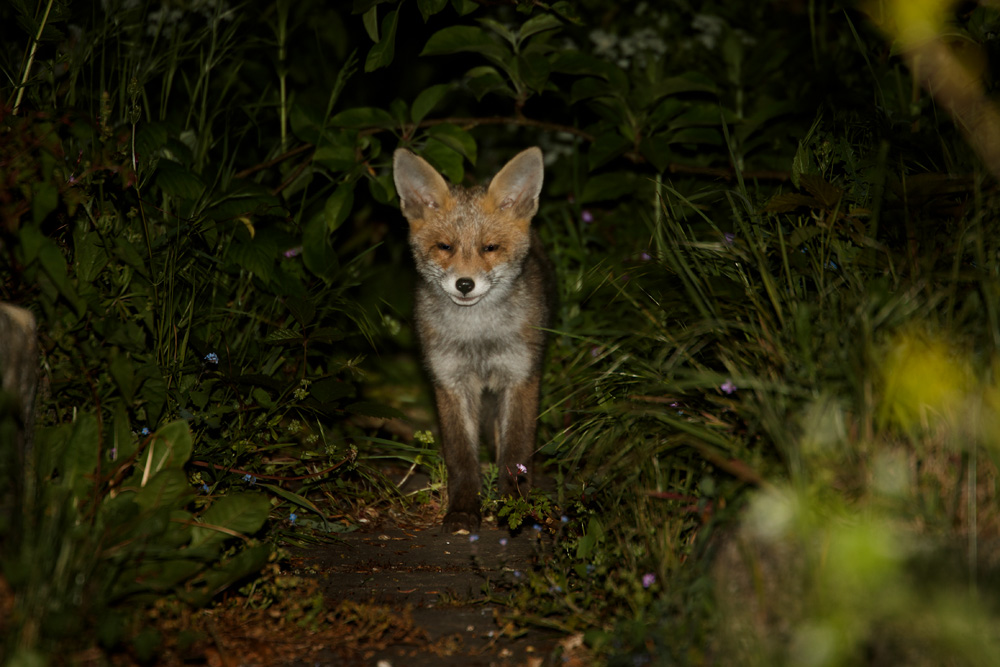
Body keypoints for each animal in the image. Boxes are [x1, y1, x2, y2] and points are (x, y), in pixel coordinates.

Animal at [392, 147, 553, 534]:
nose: (464, 284)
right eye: (445, 247)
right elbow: (462, 458)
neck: (478, 336)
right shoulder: (451, 382)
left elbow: (516, 453)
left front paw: (514, 505)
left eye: (490, 247)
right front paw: (464, 511)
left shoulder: (520, 377)